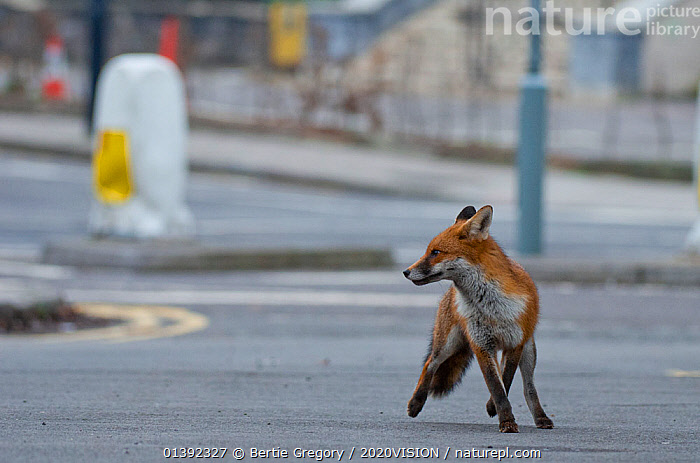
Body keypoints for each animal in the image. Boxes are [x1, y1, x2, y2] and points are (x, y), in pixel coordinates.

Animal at [402, 205, 553, 433]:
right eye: (428, 251)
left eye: (435, 252)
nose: (406, 271)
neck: (491, 308)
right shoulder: (481, 344)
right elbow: (496, 386)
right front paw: (506, 421)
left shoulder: (514, 344)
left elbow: (505, 380)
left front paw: (496, 411)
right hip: (448, 342)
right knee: (430, 363)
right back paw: (415, 403)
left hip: (529, 351)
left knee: (529, 388)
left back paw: (541, 417)